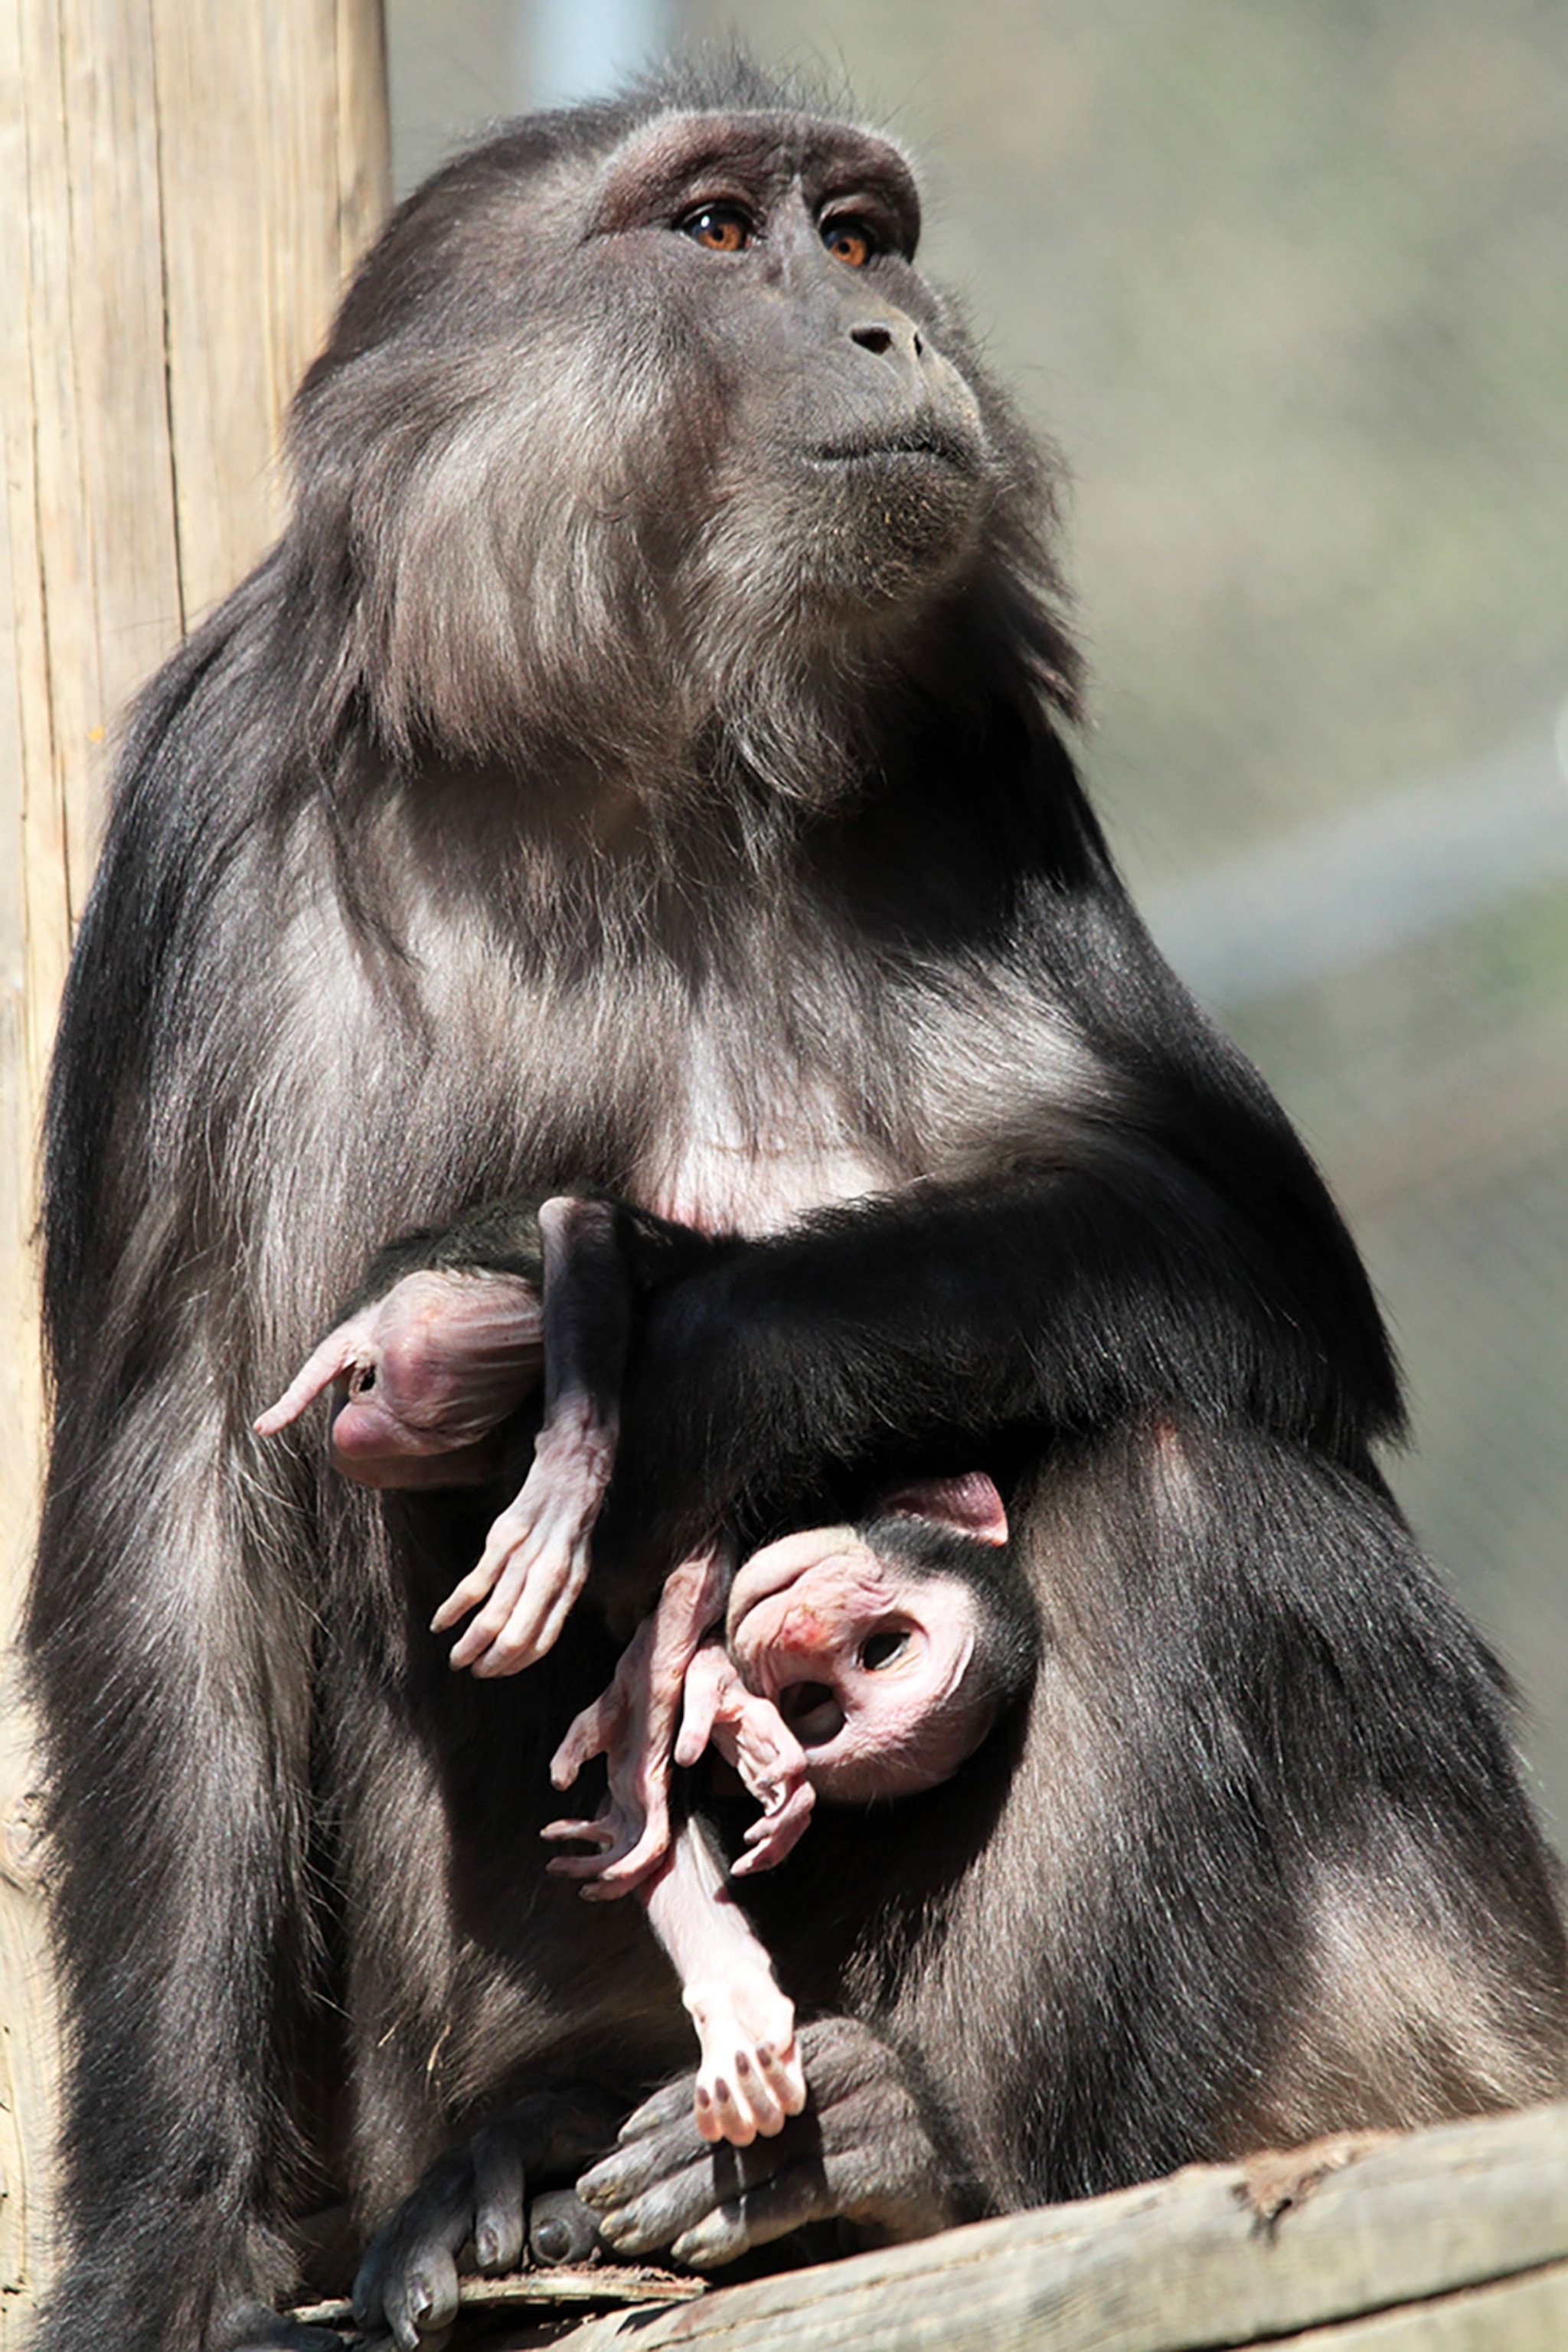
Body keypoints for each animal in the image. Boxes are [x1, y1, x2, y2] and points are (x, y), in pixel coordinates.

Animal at [26, 57, 1567, 2352]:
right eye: (714, 234)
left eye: (852, 233)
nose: (884, 324)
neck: (631, 745)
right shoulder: (204, 827)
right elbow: (178, 1496)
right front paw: (164, 2235)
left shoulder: (977, 775)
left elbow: (1230, 1238)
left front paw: (668, 1374)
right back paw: (527, 2145)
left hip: (1433, 2018)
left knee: (1193, 1474)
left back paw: (909, 2148)